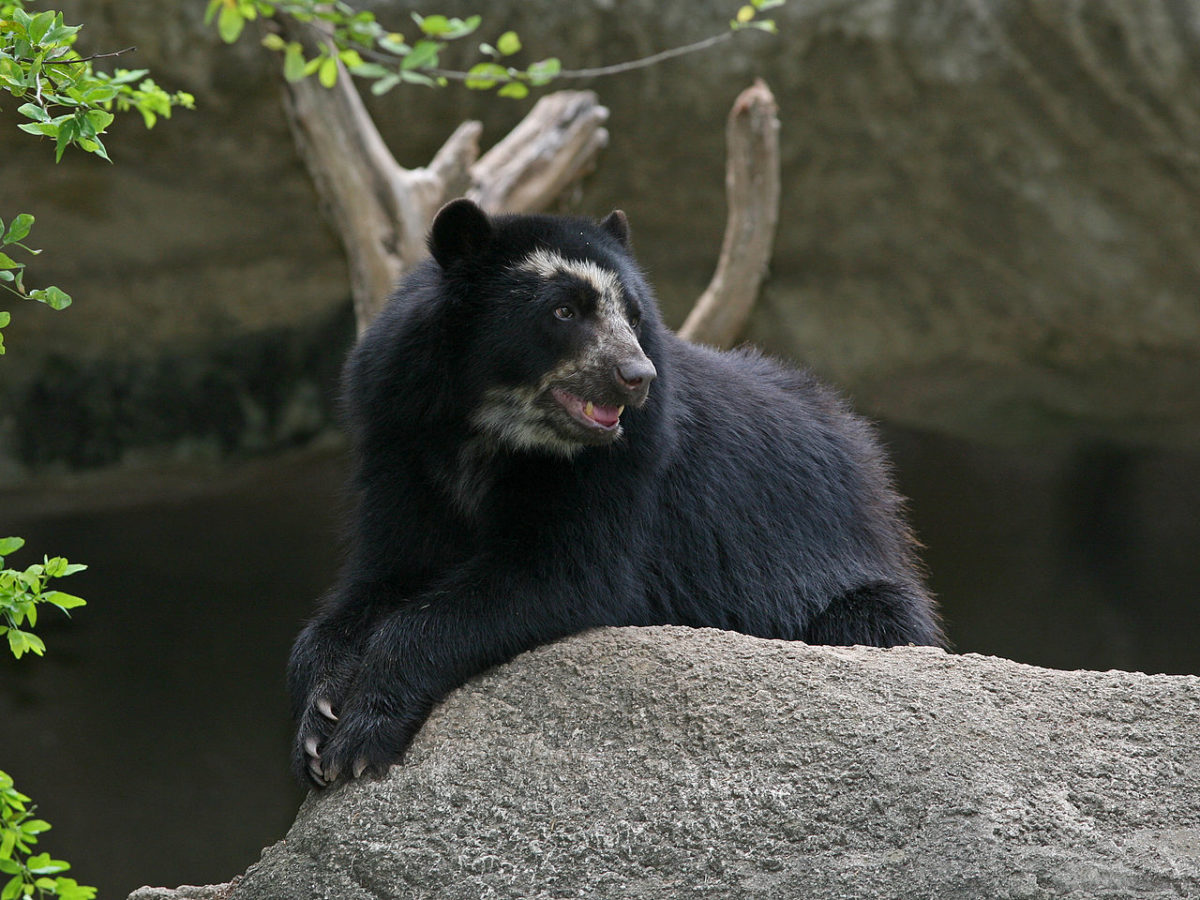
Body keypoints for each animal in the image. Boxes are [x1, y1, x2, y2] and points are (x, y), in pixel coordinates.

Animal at [289, 198, 943, 787]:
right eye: (562, 310)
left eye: (633, 313)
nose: (636, 377)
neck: (489, 428)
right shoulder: (398, 437)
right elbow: (383, 576)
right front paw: (319, 718)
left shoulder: (624, 466)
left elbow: (559, 575)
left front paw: (362, 734)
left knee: (872, 622)